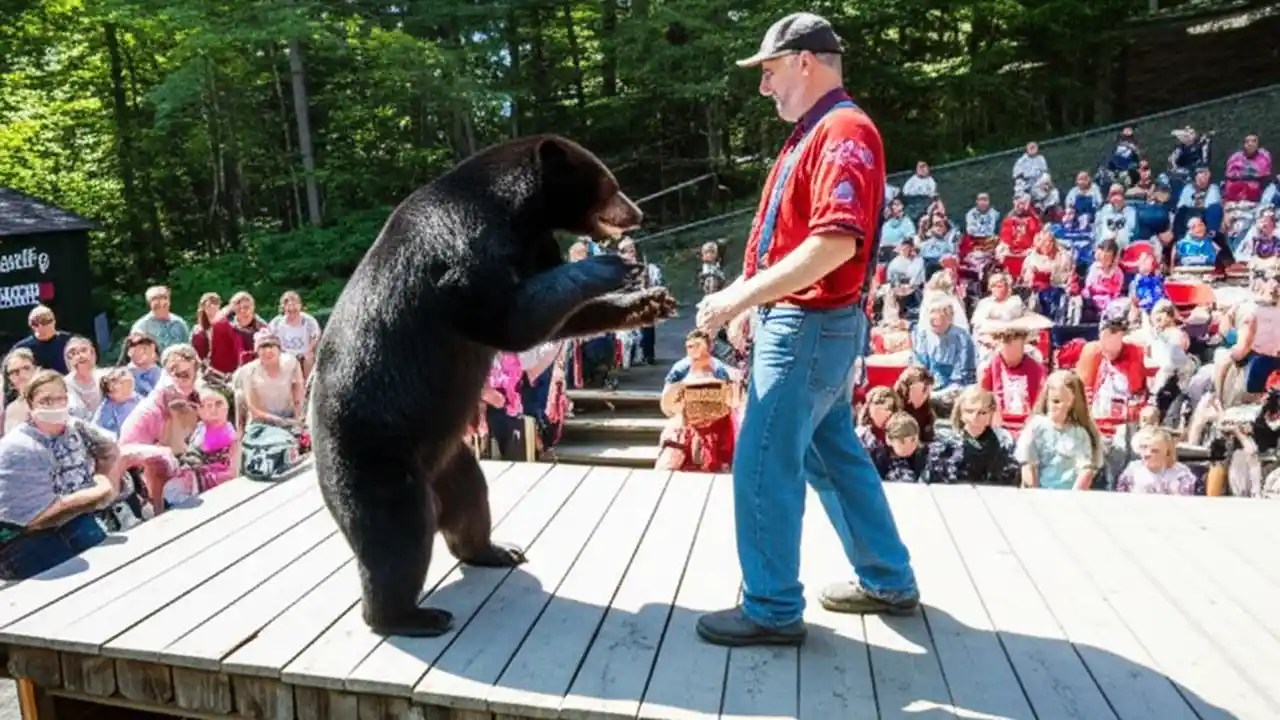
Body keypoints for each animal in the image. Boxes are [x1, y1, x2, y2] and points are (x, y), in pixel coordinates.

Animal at [308, 134, 677, 637]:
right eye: (611, 182)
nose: (637, 212)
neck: (516, 213)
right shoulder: (462, 248)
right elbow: (507, 318)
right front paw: (610, 266)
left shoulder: (532, 244)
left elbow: (558, 319)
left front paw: (647, 301)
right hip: (372, 452)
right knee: (396, 533)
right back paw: (410, 616)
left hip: (451, 455)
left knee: (470, 500)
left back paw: (495, 550)